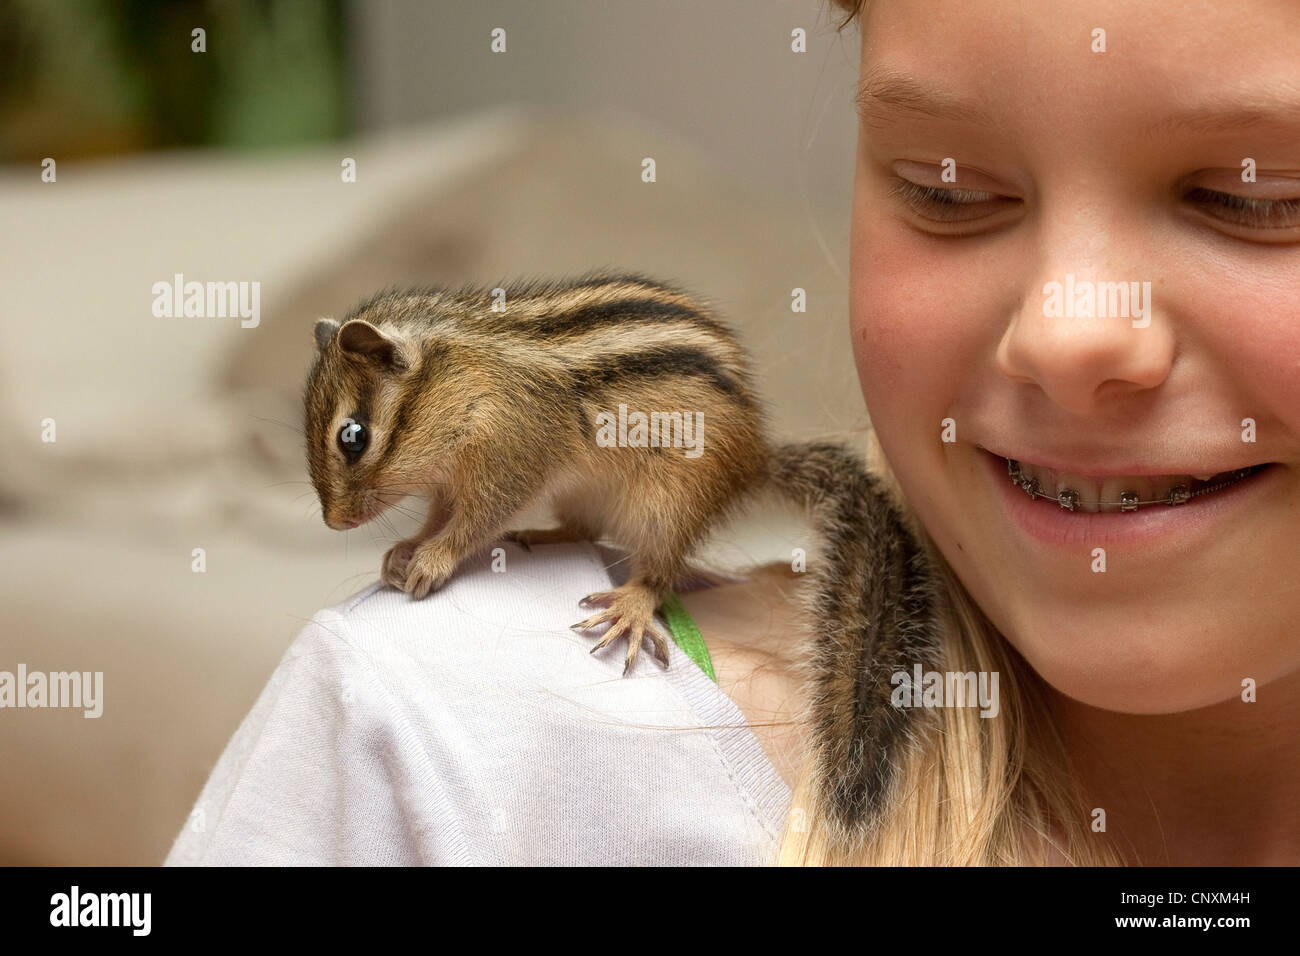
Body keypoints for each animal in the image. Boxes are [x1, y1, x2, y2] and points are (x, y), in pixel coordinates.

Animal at [303, 268, 940, 839]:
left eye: (353, 436)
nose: (333, 522)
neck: (455, 376)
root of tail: (753, 459)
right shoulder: (450, 480)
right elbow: (440, 516)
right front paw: (405, 549)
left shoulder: (509, 455)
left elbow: (473, 523)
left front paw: (432, 559)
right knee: (583, 525)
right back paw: (546, 537)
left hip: (670, 503)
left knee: (659, 570)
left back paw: (631, 605)